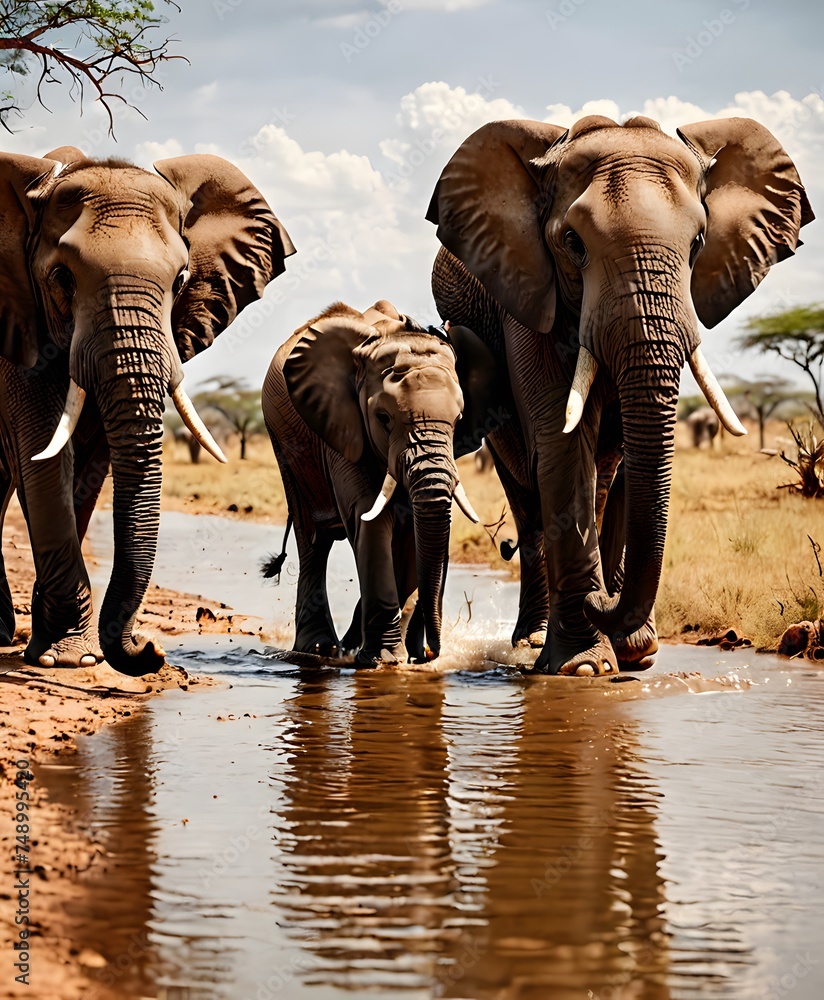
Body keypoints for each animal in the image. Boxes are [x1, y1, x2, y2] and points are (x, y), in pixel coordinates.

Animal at [0, 146, 294, 674]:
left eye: (180, 281)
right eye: (62, 278)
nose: (152, 648)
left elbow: (88, 469)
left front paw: (63, 652)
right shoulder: (19, 315)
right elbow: (42, 454)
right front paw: (66, 658)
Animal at [262, 300, 496, 665]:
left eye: (458, 419)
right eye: (383, 418)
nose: (430, 653)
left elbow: (412, 531)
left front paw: (389, 655)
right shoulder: (342, 423)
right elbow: (367, 516)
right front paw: (383, 660)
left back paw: (349, 646)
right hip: (285, 443)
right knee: (312, 540)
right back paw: (318, 650)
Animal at [427, 113, 812, 675]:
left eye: (698, 243)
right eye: (573, 243)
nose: (600, 600)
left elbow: (632, 459)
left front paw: (635, 652)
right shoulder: (528, 293)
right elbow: (562, 444)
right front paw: (583, 666)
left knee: (604, 480)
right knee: (529, 497)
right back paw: (534, 638)